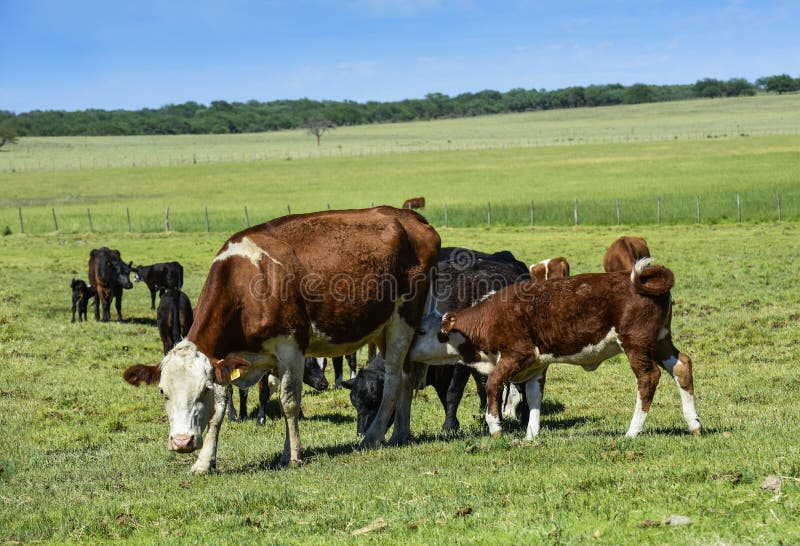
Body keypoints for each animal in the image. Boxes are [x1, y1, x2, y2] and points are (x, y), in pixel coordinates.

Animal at [122, 206, 440, 473]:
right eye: (162, 392)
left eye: (202, 391)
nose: (181, 442)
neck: (248, 282)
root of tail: (409, 217)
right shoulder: (223, 360)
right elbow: (219, 412)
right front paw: (203, 462)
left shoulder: (292, 348)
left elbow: (289, 402)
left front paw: (293, 454)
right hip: (385, 327)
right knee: (406, 376)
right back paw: (400, 433)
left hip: (404, 319)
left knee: (395, 378)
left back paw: (373, 437)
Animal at [344, 246, 530, 434]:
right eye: (355, 403)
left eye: (375, 400)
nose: (361, 433)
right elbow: (444, 395)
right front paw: (454, 423)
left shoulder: (462, 364)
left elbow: (453, 393)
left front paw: (449, 425)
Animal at [410, 258, 702, 440]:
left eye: (422, 331)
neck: (488, 319)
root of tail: (638, 278)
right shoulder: (537, 365)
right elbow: (533, 397)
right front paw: (531, 435)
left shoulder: (517, 354)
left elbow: (493, 384)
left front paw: (495, 427)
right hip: (660, 340)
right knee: (681, 366)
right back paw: (694, 423)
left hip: (636, 343)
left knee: (648, 378)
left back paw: (633, 431)